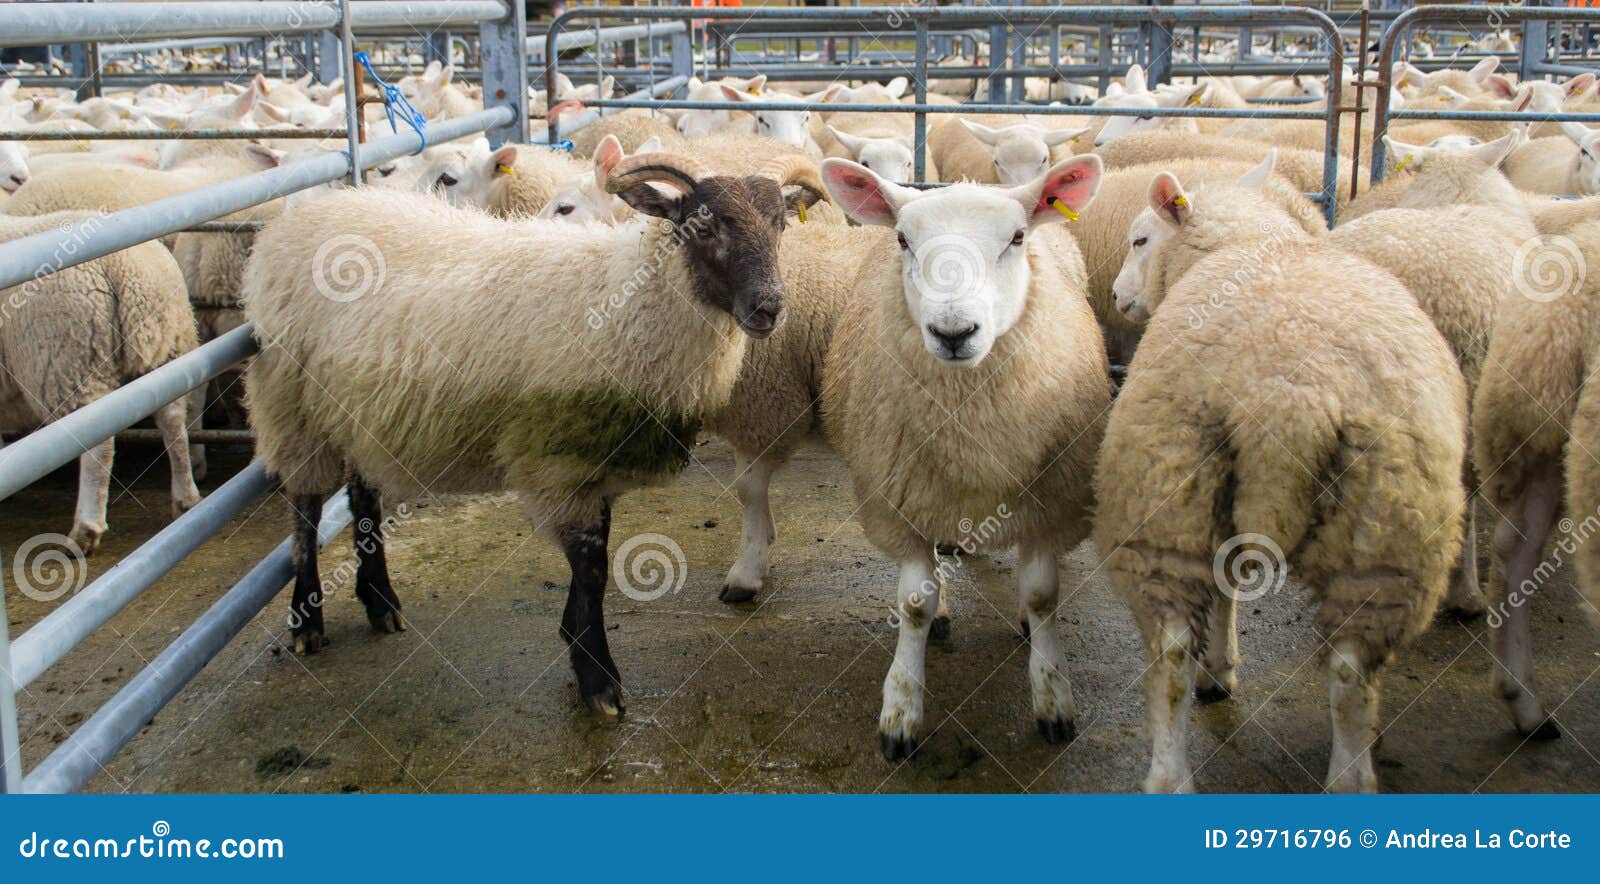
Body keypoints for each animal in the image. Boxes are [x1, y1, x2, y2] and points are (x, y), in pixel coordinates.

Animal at [0, 211, 202, 553]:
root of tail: (123, 265)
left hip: (65, 362)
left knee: (98, 446)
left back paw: (85, 530)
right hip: (169, 350)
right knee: (173, 420)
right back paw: (186, 499)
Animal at [241, 151, 826, 717]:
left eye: (780, 224)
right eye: (703, 226)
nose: (769, 308)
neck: (631, 300)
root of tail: (305, 215)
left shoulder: (592, 456)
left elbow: (595, 559)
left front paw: (577, 642)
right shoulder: (558, 459)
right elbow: (594, 565)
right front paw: (598, 681)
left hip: (358, 410)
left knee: (362, 495)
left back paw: (381, 602)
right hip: (293, 403)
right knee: (306, 508)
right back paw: (307, 621)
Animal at [817, 155, 1112, 757]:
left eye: (1018, 237)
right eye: (903, 239)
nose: (953, 332)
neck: (971, 442)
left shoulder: (1051, 503)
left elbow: (1043, 596)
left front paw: (1053, 697)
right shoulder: (899, 500)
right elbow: (913, 604)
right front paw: (901, 709)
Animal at [1099, 166, 1466, 792]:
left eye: (1140, 238)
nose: (1121, 298)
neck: (1248, 244)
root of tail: (1288, 394)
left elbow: (1225, 591)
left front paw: (1219, 670)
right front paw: (1220, 672)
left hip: (1180, 493)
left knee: (1181, 654)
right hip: (1378, 533)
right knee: (1338, 670)